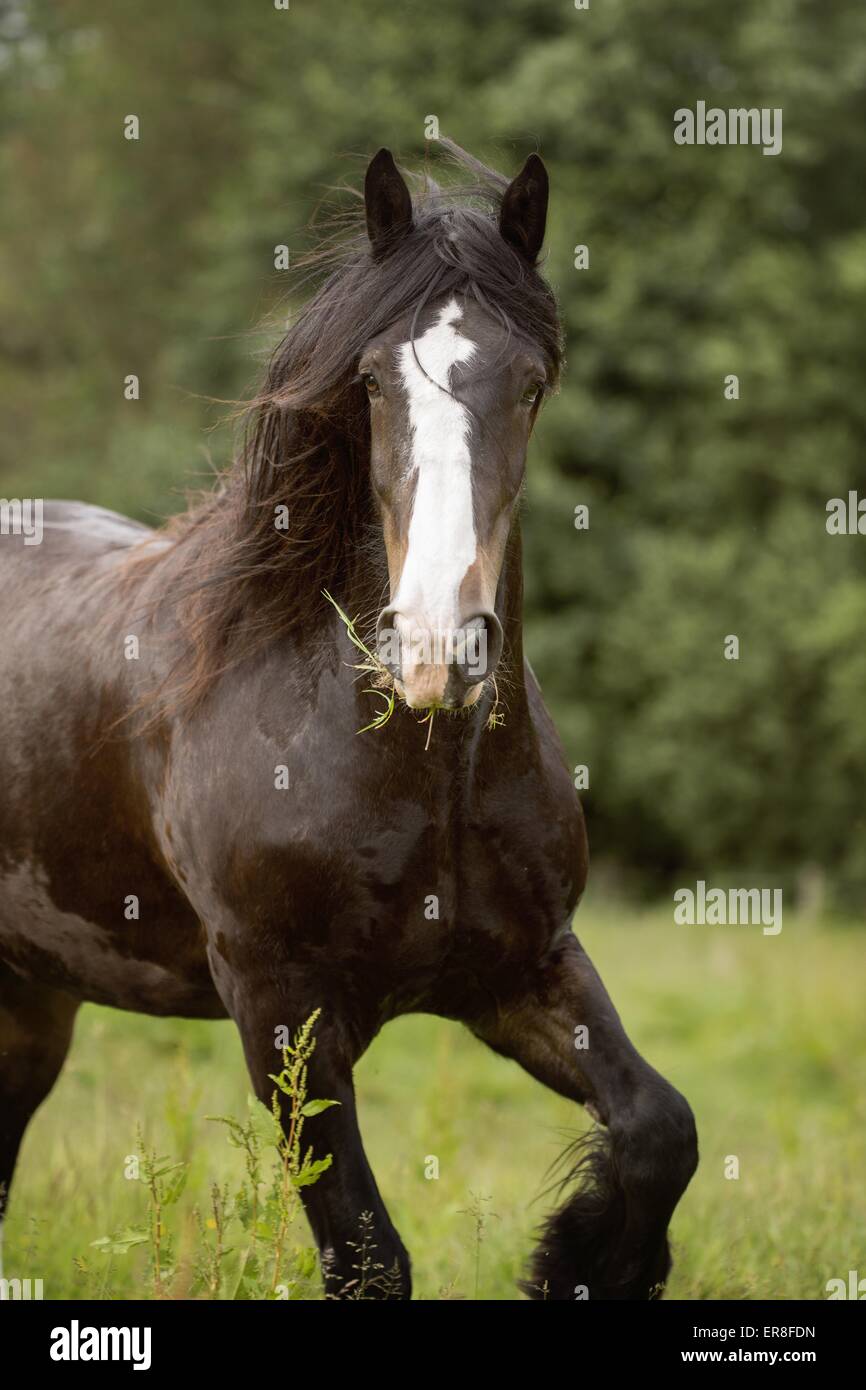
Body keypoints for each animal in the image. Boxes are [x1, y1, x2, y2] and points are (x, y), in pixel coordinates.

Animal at [0, 141, 697, 1299]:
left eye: (532, 384)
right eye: (372, 381)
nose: (434, 648)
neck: (420, 778)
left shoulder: (524, 969)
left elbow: (659, 1130)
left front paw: (575, 1257)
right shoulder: (280, 1007)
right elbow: (370, 1256)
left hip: (33, 1000)